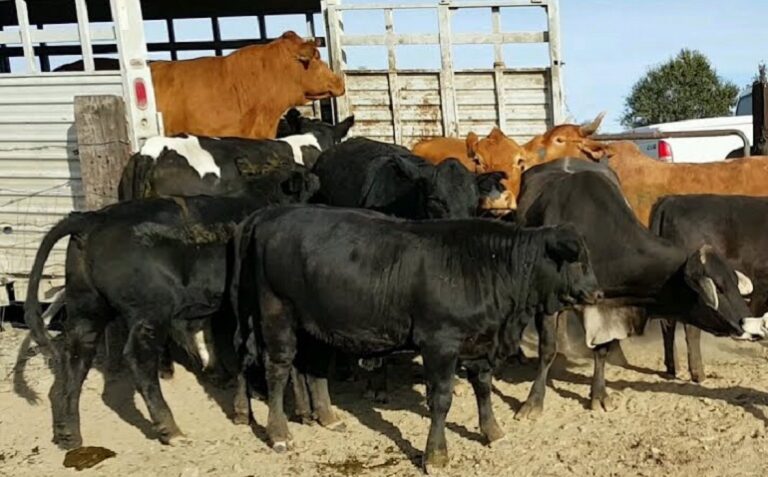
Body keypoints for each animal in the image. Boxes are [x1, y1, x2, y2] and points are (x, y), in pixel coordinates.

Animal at [23, 169, 319, 450]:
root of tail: (93, 218)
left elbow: (206, 334)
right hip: (150, 313)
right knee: (139, 360)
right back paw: (171, 430)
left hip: (86, 308)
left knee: (76, 358)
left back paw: (68, 434)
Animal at [229, 204, 602, 471]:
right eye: (577, 260)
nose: (597, 293)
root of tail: (271, 213)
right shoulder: (440, 343)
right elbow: (441, 399)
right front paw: (436, 455)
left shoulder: (480, 343)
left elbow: (483, 388)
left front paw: (492, 432)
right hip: (276, 312)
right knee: (276, 368)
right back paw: (279, 433)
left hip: (314, 322)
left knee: (301, 364)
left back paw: (318, 416)